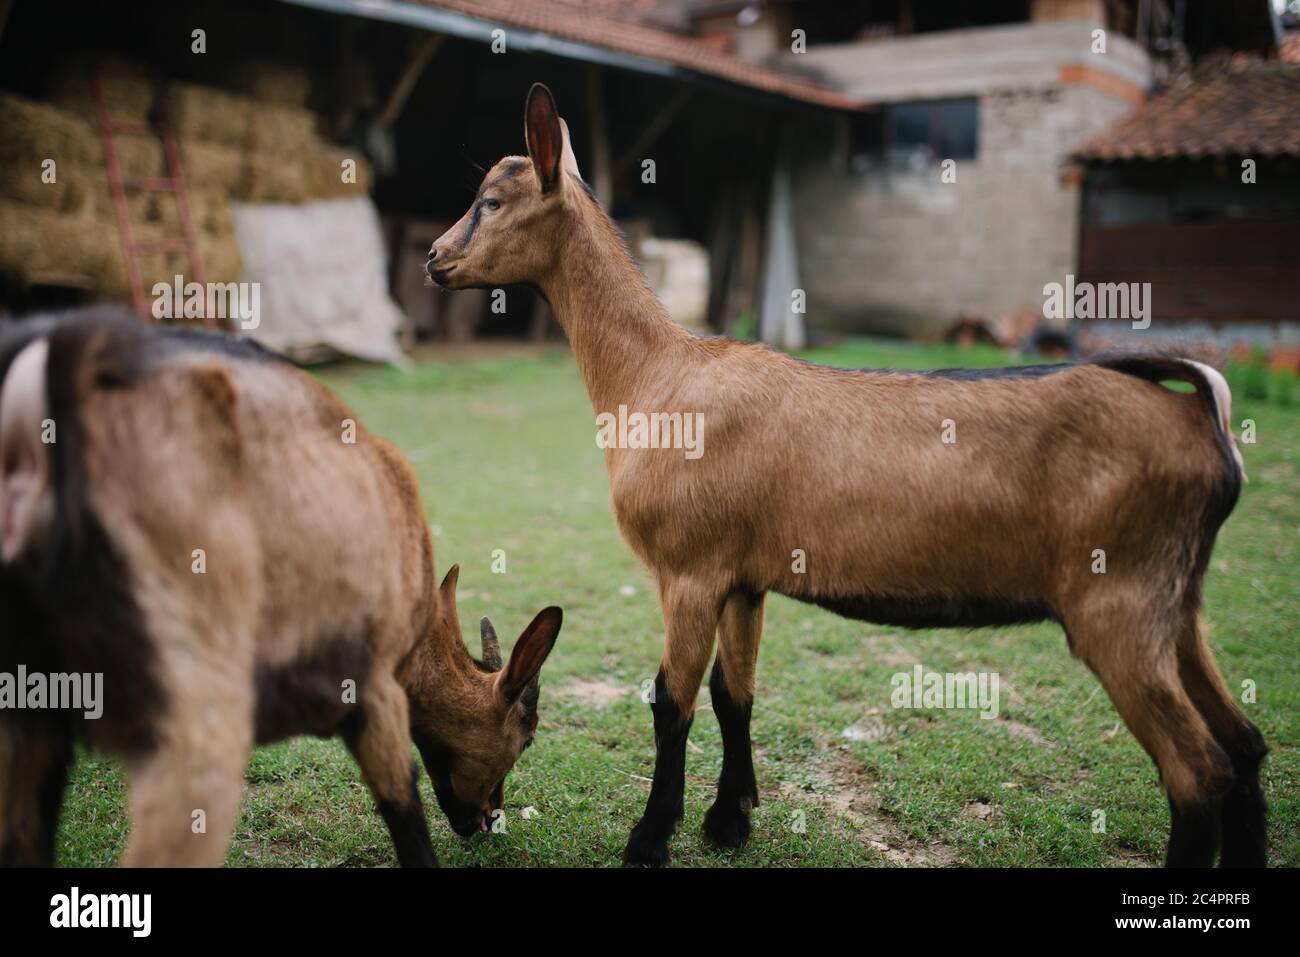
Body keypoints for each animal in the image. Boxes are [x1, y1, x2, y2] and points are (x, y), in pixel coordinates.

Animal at [426, 84, 1267, 868]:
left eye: (490, 201)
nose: (435, 257)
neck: (657, 377)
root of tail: (1204, 422)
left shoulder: (689, 569)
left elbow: (673, 701)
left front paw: (651, 838)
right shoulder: (745, 576)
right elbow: (735, 693)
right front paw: (730, 819)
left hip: (1115, 601)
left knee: (1196, 767)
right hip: (1173, 602)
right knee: (1245, 741)